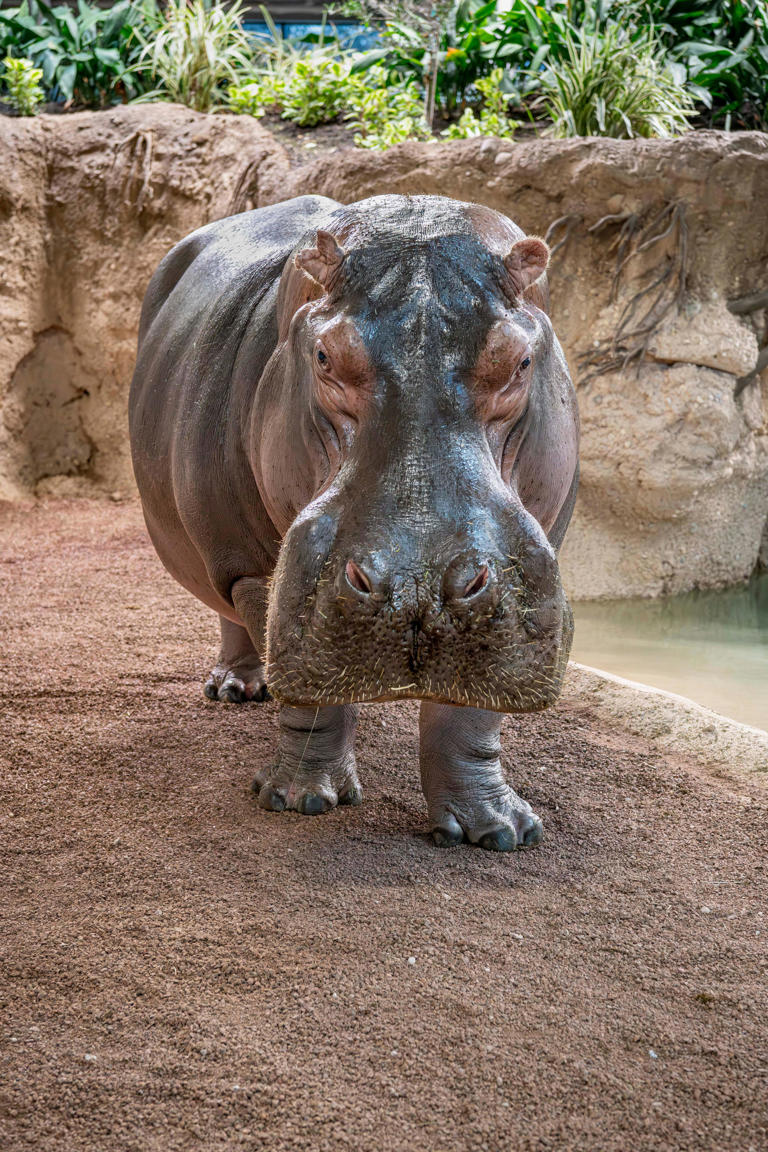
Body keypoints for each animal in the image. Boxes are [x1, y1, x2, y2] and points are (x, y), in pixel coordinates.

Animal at [129, 193, 579, 852]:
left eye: (520, 361)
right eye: (323, 356)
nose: (417, 586)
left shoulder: (521, 589)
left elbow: (469, 717)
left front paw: (499, 830)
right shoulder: (258, 572)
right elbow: (313, 697)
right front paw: (300, 800)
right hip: (226, 546)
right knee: (230, 610)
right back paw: (238, 689)